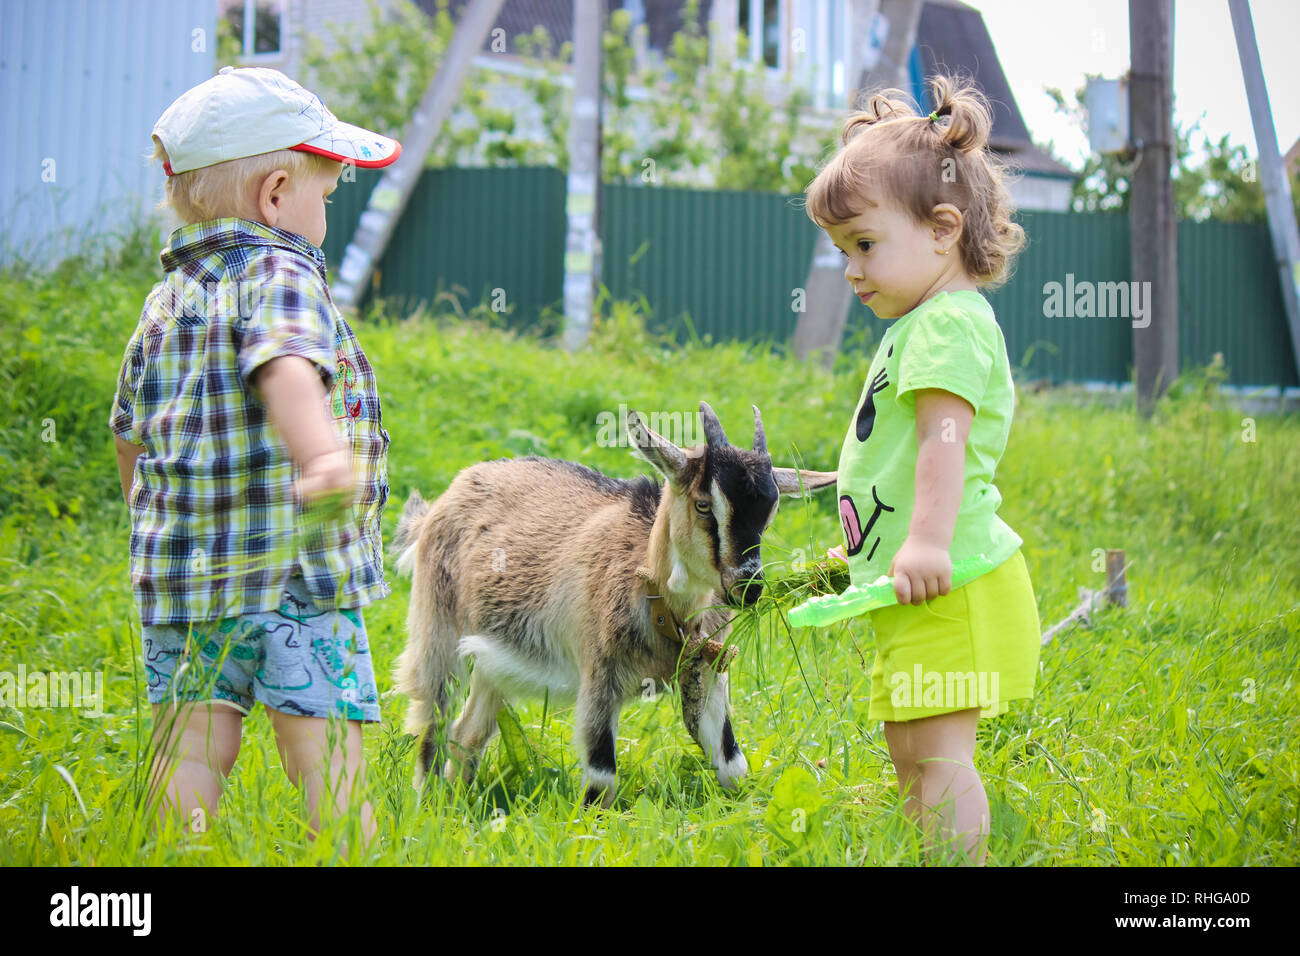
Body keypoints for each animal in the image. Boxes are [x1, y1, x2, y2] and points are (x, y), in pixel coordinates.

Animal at [392, 401, 836, 806]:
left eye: (770, 513)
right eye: (703, 504)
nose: (748, 587)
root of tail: (451, 493)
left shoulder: (707, 672)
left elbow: (732, 763)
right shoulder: (598, 676)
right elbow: (601, 778)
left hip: (494, 659)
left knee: (467, 732)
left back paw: (458, 801)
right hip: (437, 627)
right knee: (433, 719)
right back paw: (426, 806)